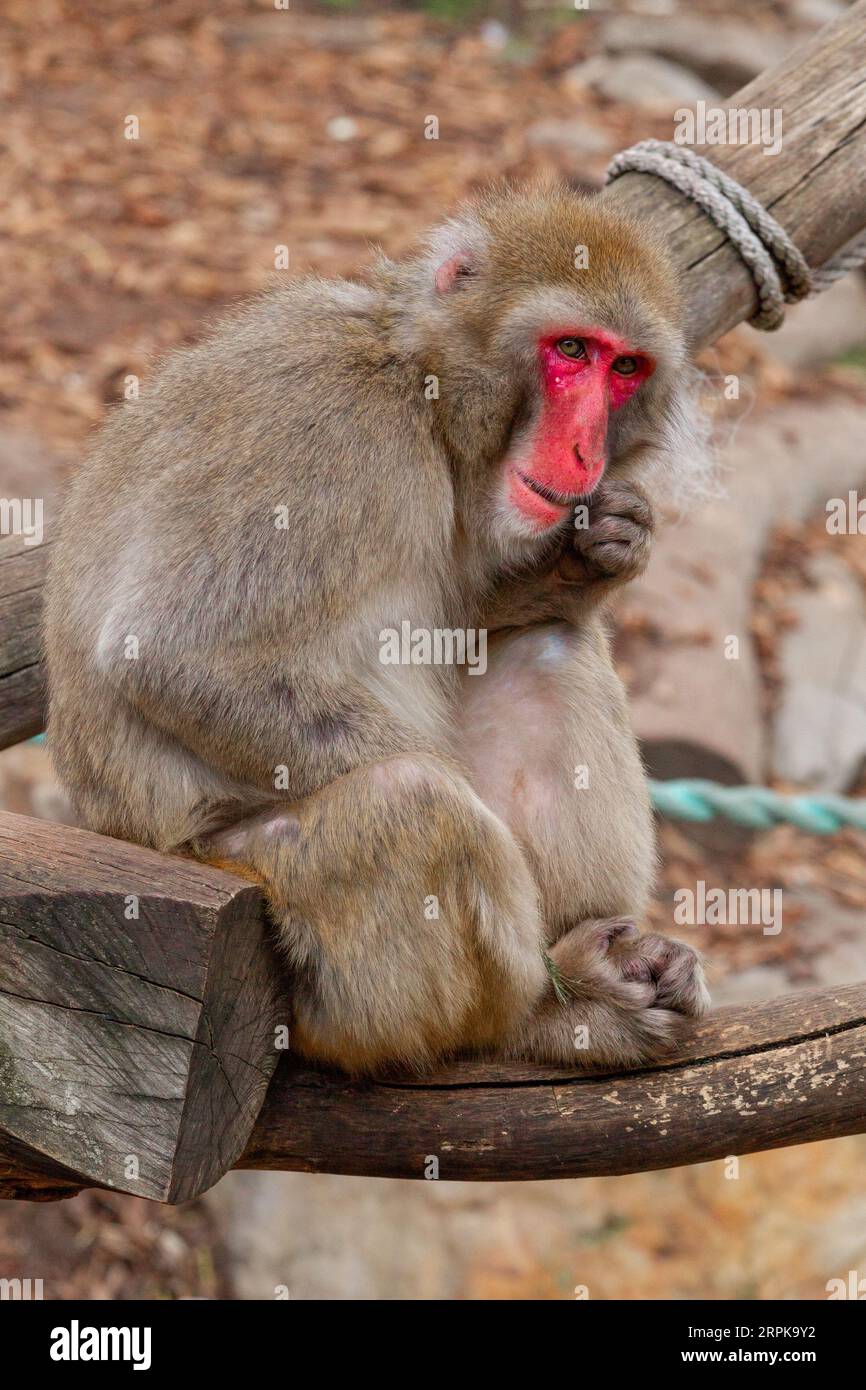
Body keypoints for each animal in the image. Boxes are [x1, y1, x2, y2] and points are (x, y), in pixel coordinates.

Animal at [45, 186, 710, 1075]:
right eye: (571, 349)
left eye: (625, 368)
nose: (584, 448)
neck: (423, 391)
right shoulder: (327, 426)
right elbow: (171, 651)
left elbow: (465, 620)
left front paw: (597, 559)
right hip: (276, 912)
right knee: (415, 801)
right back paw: (539, 1012)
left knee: (547, 649)